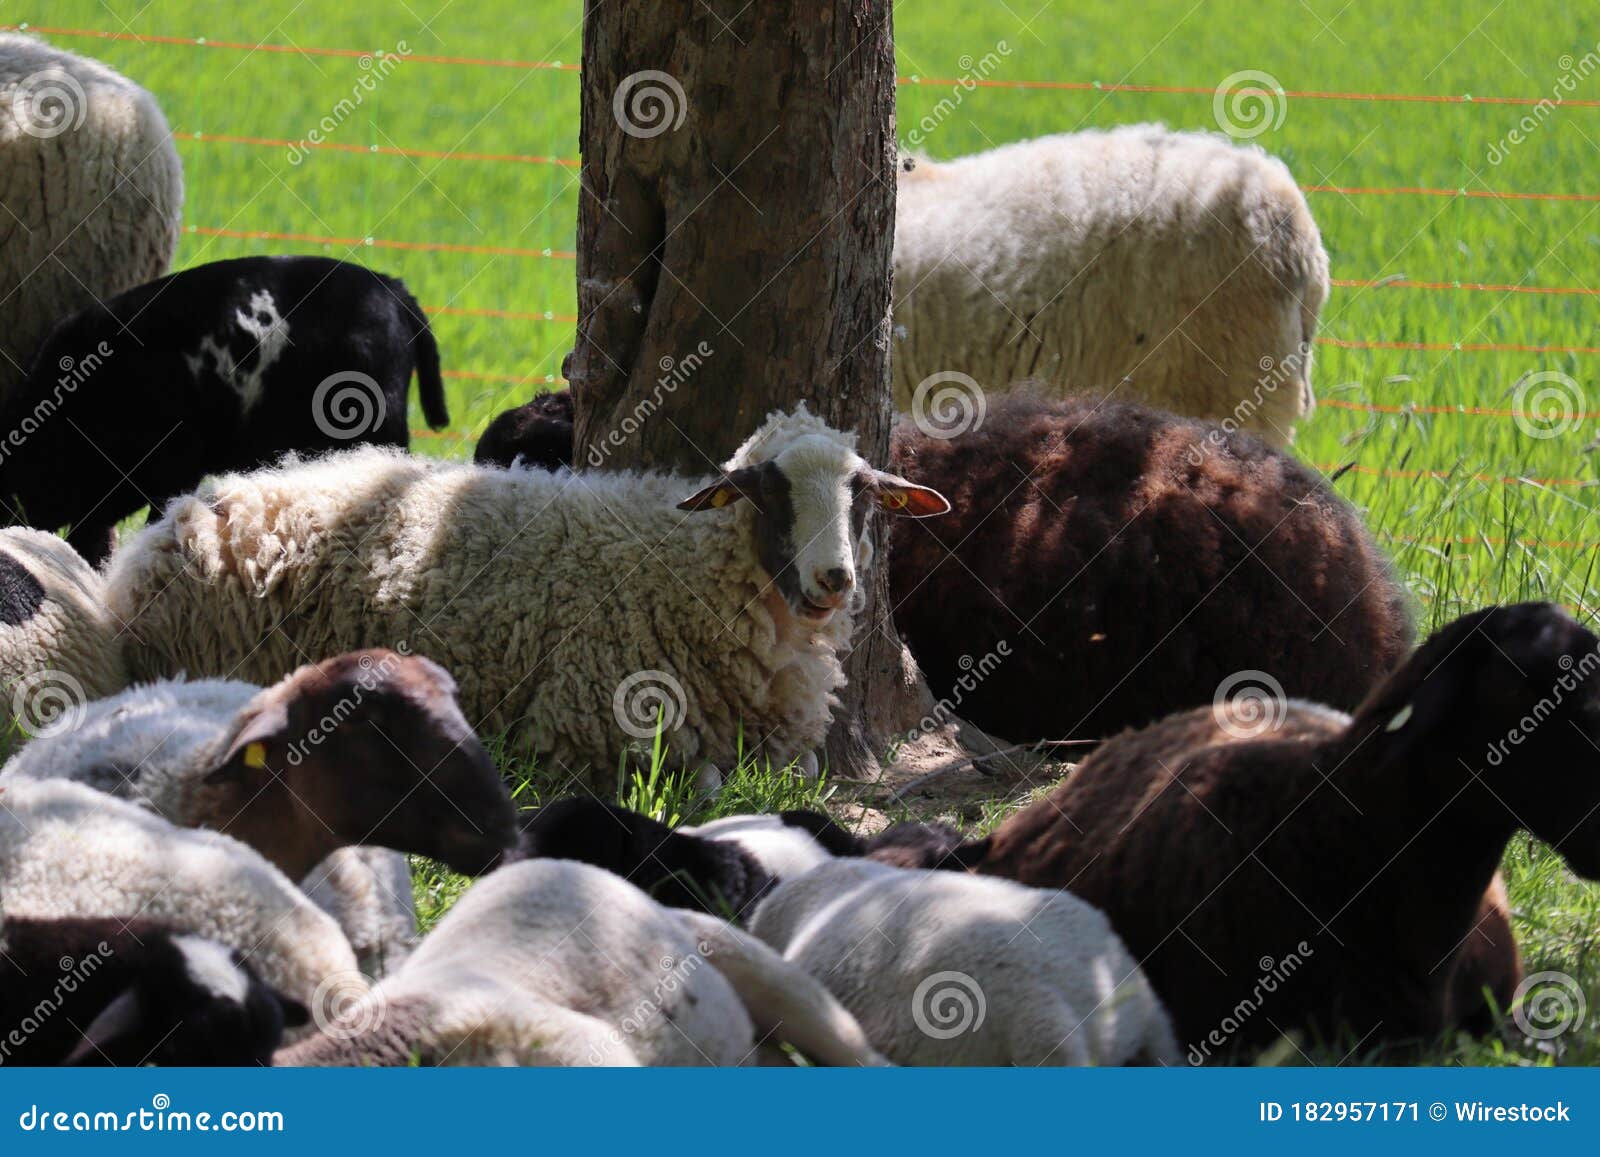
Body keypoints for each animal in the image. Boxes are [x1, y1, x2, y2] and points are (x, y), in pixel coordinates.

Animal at [104, 405, 951, 790]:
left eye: (861, 493)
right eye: (767, 492)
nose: (835, 578)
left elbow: (799, 770)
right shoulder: (594, 726)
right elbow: (706, 779)